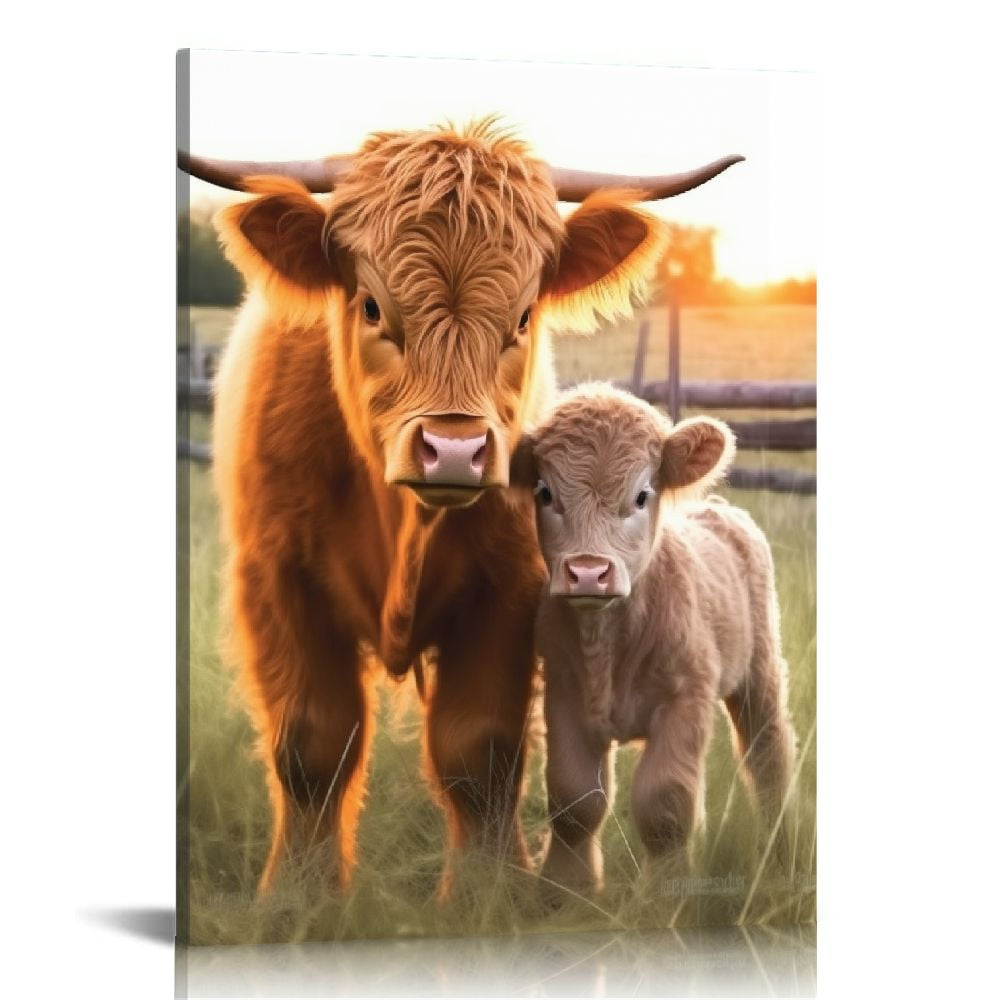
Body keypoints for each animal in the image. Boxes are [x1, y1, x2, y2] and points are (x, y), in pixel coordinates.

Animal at [178, 118, 743, 896]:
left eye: (524, 316)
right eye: (372, 306)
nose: (454, 449)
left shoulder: (506, 590)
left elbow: (480, 747)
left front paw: (489, 891)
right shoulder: (278, 579)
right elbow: (312, 744)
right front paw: (299, 897)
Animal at [510, 383, 795, 892]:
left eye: (642, 496)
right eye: (545, 492)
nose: (588, 572)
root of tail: (715, 508)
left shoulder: (685, 699)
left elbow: (664, 808)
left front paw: (668, 893)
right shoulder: (563, 695)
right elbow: (574, 799)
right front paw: (565, 889)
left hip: (761, 668)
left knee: (769, 756)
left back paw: (783, 856)